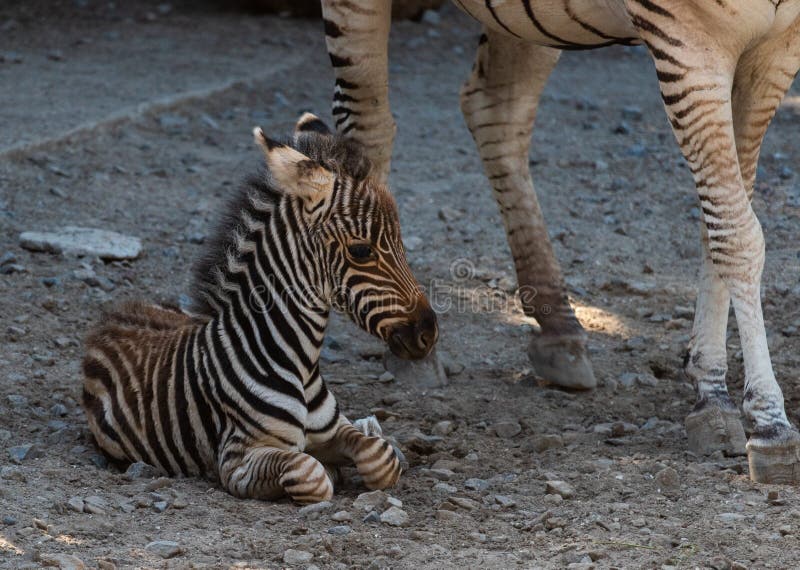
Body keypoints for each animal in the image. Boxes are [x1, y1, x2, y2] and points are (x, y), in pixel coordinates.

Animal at [81, 113, 439, 503]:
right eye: (361, 251)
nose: (429, 331)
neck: (299, 360)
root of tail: (113, 314)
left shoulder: (332, 430)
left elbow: (381, 457)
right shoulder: (237, 458)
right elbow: (310, 472)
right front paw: (326, 470)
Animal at [320, 0, 800, 484]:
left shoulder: (779, 47)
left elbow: (718, 221)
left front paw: (711, 393)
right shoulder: (689, 38)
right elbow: (737, 235)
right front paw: (769, 424)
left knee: (495, 107)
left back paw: (558, 328)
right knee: (369, 127)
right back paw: (404, 341)